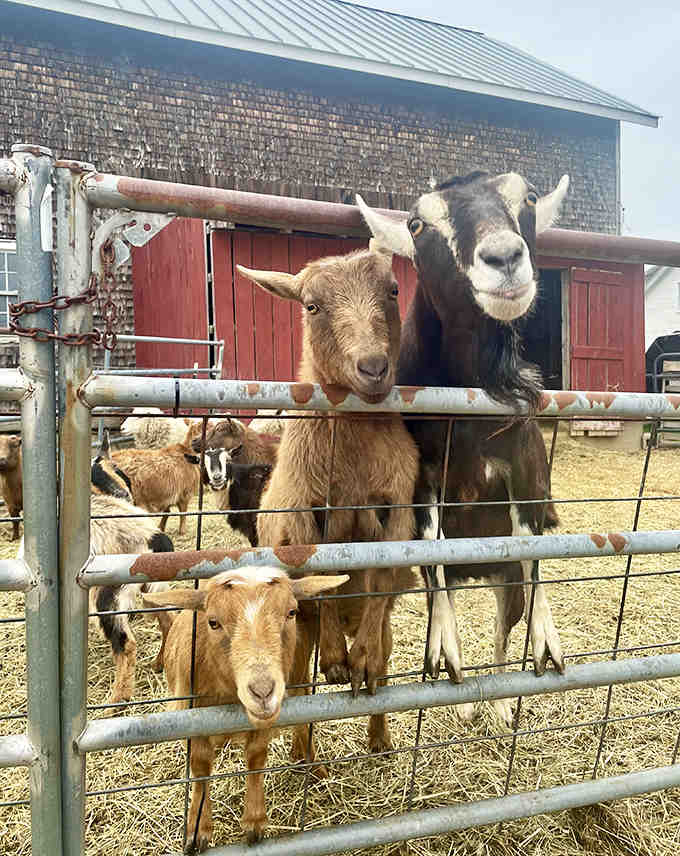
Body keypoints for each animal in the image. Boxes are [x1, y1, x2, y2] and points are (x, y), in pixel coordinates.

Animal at [143, 567, 347, 850]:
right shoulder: (190, 716)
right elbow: (200, 766)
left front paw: (254, 822)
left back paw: (313, 765)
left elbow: (256, 757)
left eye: (291, 612)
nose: (262, 692)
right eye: (213, 622)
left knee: (303, 722)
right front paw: (198, 829)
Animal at [240, 246, 419, 753]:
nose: (373, 368)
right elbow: (324, 576)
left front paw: (358, 660)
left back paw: (378, 735)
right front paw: (338, 659)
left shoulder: (398, 510)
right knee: (300, 687)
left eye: (393, 290)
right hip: (296, 629)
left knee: (383, 672)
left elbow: (380, 576)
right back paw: (304, 757)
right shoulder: (302, 515)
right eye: (312, 306)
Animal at [358, 171, 568, 724]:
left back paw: (497, 705)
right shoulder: (424, 474)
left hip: (503, 576)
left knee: (504, 625)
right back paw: (467, 700)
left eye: (528, 198)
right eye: (416, 223)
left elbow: (532, 542)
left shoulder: (525, 467)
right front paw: (444, 650)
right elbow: (431, 544)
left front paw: (548, 641)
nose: (504, 257)